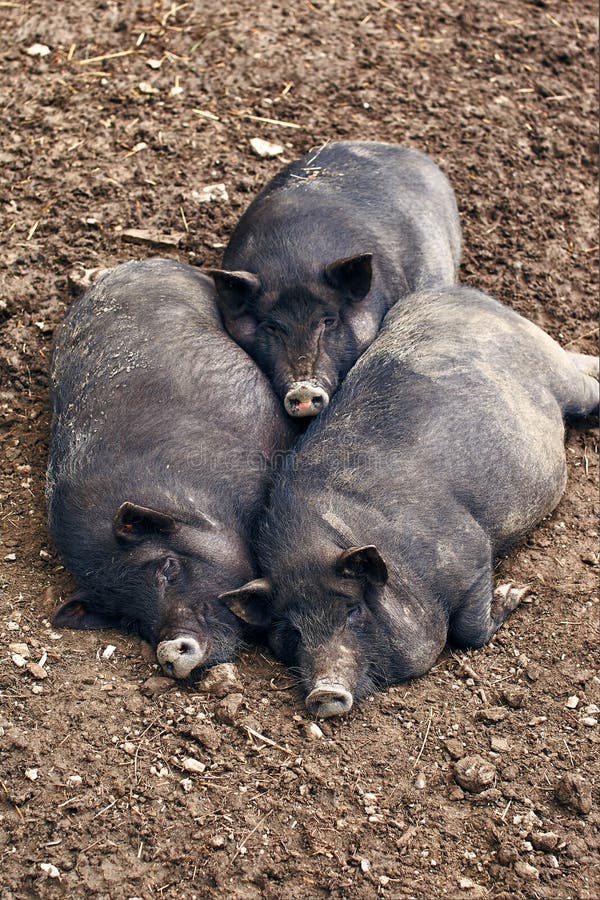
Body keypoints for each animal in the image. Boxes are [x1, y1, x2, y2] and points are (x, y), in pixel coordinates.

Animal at [219, 285, 599, 717]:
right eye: (292, 630)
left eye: (353, 611)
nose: (324, 692)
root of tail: (460, 293)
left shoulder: (471, 551)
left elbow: (470, 631)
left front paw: (515, 592)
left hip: (563, 380)